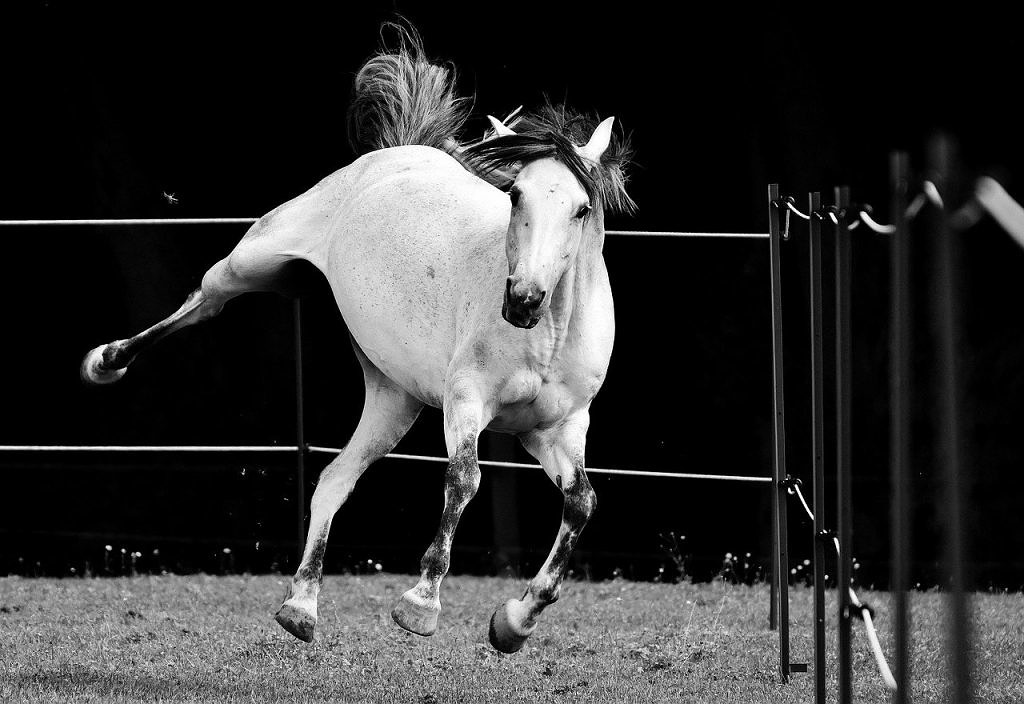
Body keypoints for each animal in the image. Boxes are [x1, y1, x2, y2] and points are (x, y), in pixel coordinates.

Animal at [80, 22, 636, 653]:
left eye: (581, 209)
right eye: (516, 194)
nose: (522, 301)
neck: (547, 339)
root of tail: (401, 151)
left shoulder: (555, 429)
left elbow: (582, 503)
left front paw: (514, 621)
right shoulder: (466, 404)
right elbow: (463, 479)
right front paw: (421, 605)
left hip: (392, 399)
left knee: (333, 480)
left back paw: (301, 607)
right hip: (254, 261)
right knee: (202, 304)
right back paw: (106, 361)